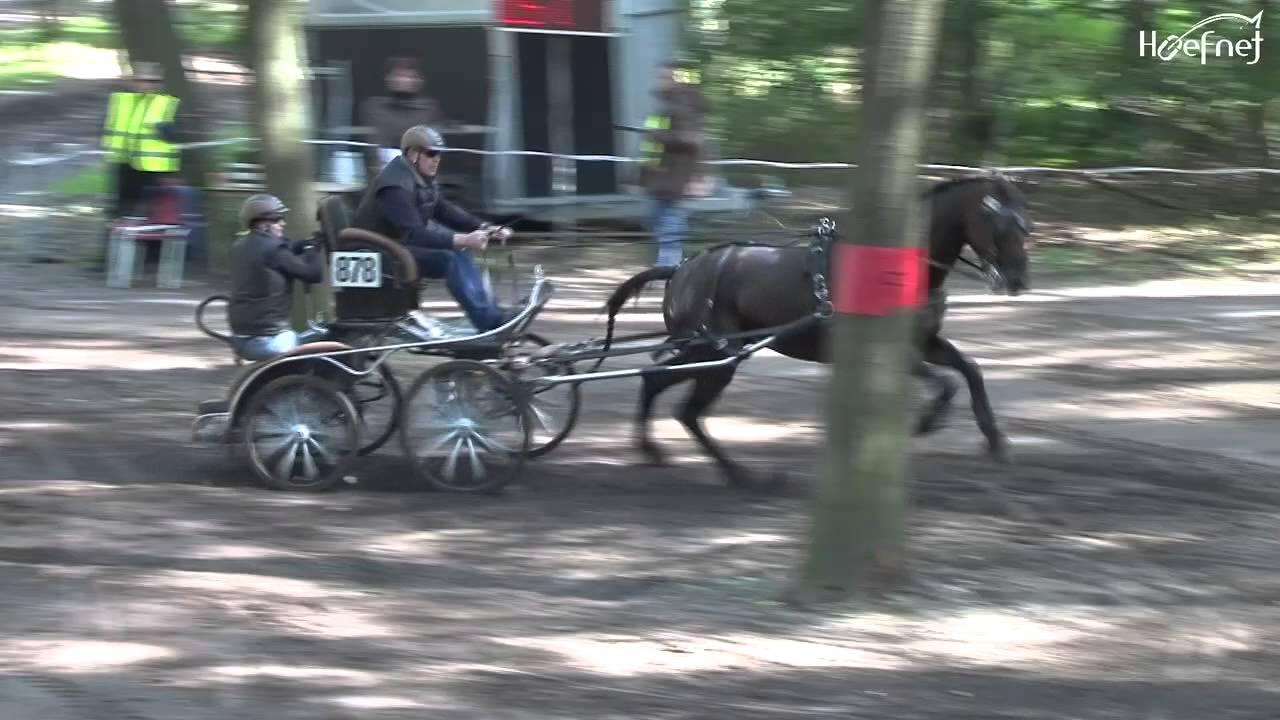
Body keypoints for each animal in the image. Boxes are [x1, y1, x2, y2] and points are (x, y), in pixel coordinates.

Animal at [601, 173, 1033, 490]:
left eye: (1025, 224)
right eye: (997, 220)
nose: (1018, 279)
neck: (896, 269)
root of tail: (681, 269)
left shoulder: (924, 342)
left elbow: (970, 370)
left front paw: (996, 441)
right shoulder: (897, 351)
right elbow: (947, 383)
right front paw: (926, 423)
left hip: (706, 353)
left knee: (654, 380)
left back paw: (655, 451)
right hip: (716, 355)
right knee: (685, 408)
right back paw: (743, 475)